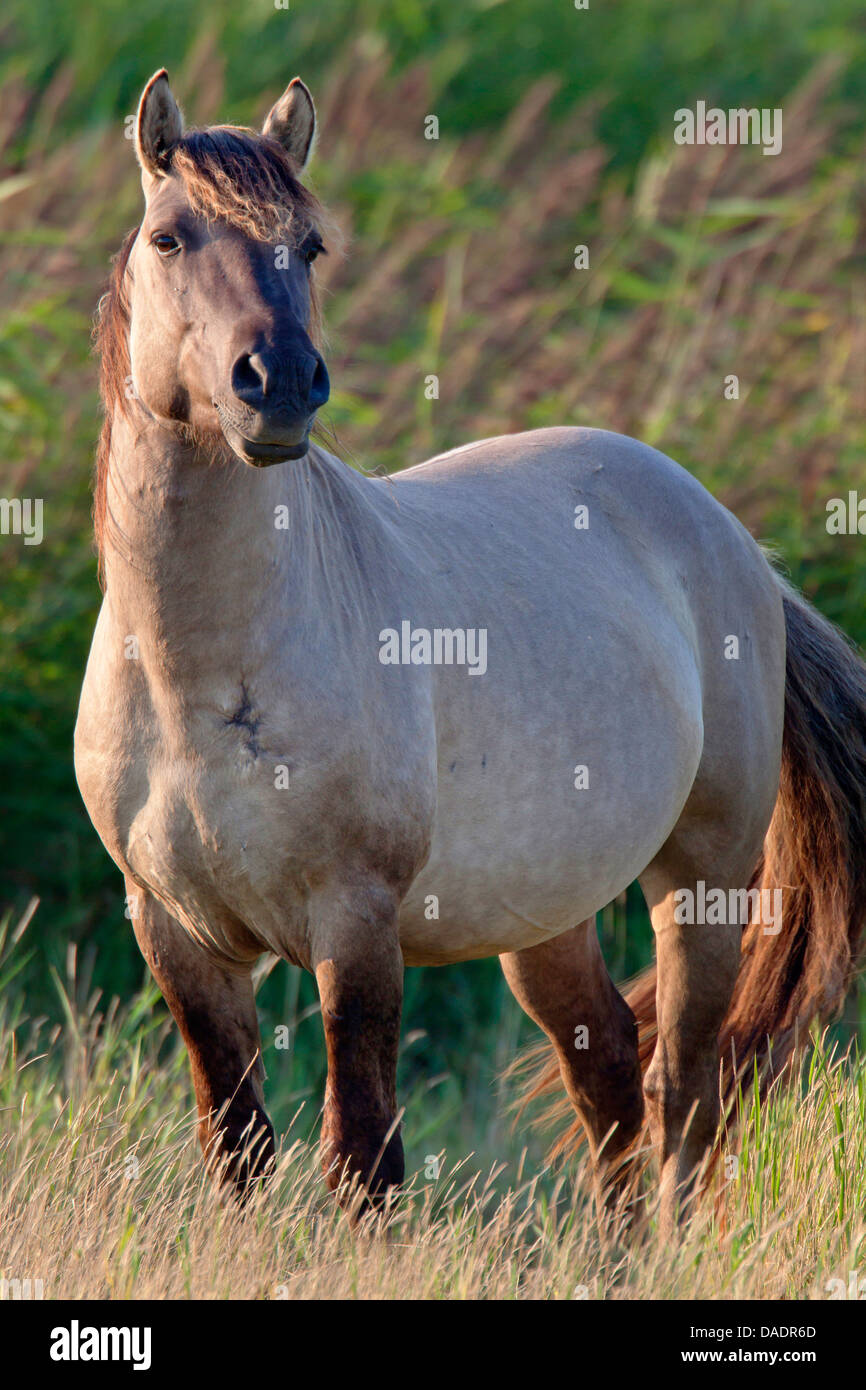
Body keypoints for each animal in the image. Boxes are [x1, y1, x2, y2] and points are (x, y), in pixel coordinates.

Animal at [74, 69, 866, 1234]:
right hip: (545, 913)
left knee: (687, 1088)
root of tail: (727, 538)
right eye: (171, 236)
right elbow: (238, 1152)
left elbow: (361, 1159)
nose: (279, 383)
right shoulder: (176, 934)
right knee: (607, 1071)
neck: (198, 682)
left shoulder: (354, 924)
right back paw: (612, 1256)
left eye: (309, 245)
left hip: (704, 879)